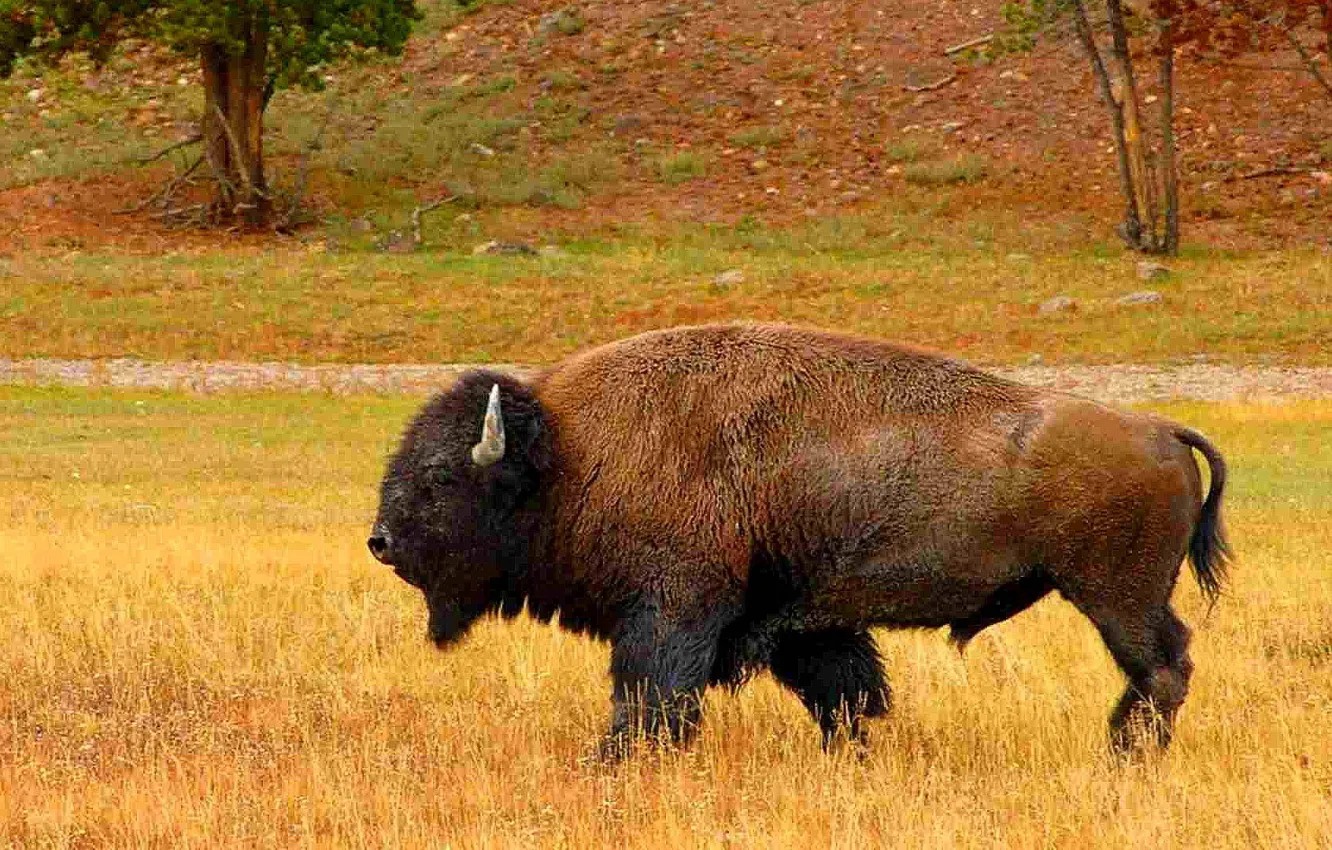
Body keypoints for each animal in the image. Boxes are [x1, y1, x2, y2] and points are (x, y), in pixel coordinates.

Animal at [368, 323, 1228, 756]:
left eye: (441, 476)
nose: (380, 542)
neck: (570, 451)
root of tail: (1160, 428)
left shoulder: (674, 611)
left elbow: (652, 695)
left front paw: (617, 760)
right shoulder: (803, 623)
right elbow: (845, 692)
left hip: (1116, 595)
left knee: (1164, 664)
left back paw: (1125, 751)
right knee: (1166, 665)